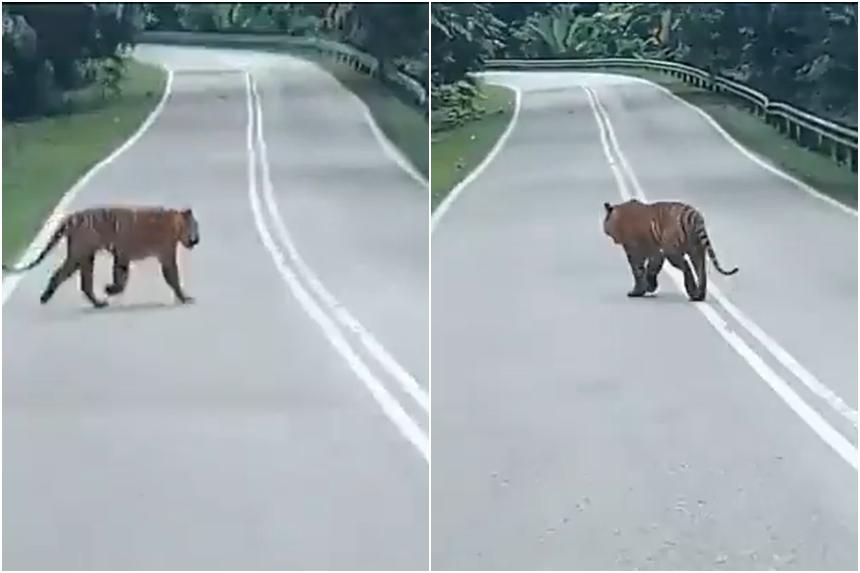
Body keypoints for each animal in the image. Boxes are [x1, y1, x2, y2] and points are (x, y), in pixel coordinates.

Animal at [2, 206, 199, 308]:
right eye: (195, 226)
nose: (197, 239)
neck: (176, 223)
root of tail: (71, 217)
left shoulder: (122, 256)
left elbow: (121, 277)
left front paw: (110, 289)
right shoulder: (165, 256)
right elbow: (173, 278)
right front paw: (185, 298)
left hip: (84, 257)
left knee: (82, 282)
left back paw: (95, 303)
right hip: (79, 254)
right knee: (63, 275)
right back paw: (45, 298)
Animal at [602, 199, 738, 302]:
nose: (605, 230)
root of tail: (694, 215)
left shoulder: (635, 252)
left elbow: (639, 271)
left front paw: (638, 291)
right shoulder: (655, 252)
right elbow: (651, 269)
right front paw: (649, 287)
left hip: (672, 251)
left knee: (686, 267)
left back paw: (692, 292)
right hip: (697, 250)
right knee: (701, 271)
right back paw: (699, 296)